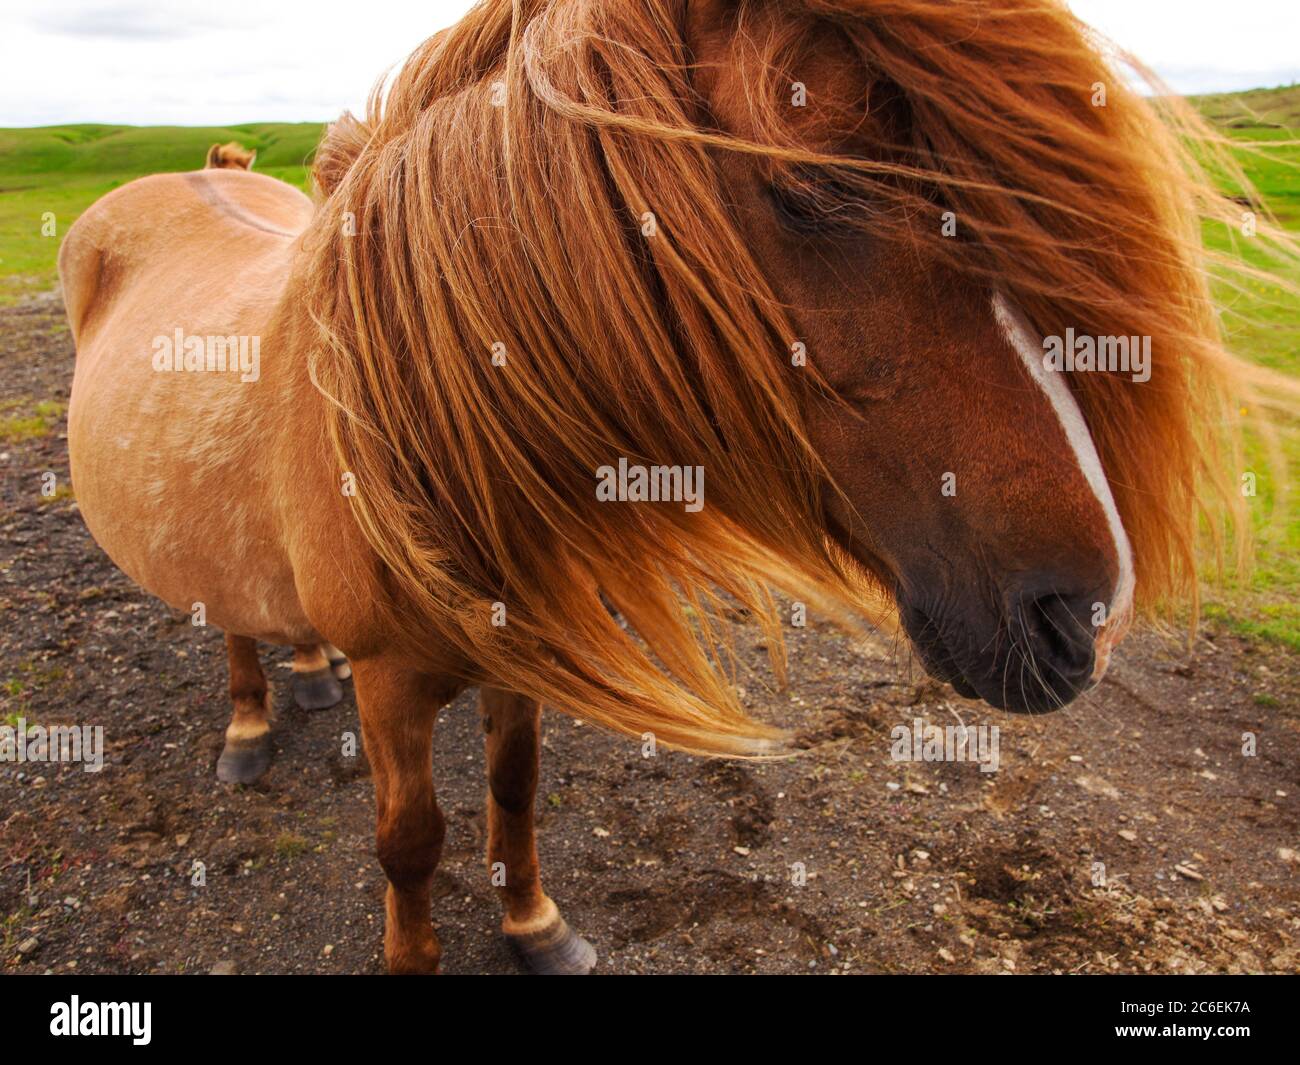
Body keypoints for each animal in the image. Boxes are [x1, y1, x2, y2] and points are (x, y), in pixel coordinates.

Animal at [58, 0, 1295, 974]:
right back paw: (250, 728)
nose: (1083, 616)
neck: (404, 418)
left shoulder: (523, 647)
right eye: (814, 190)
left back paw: (303, 677)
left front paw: (537, 926)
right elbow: (410, 845)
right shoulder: (395, 681)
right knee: (223, 617)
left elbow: (516, 790)